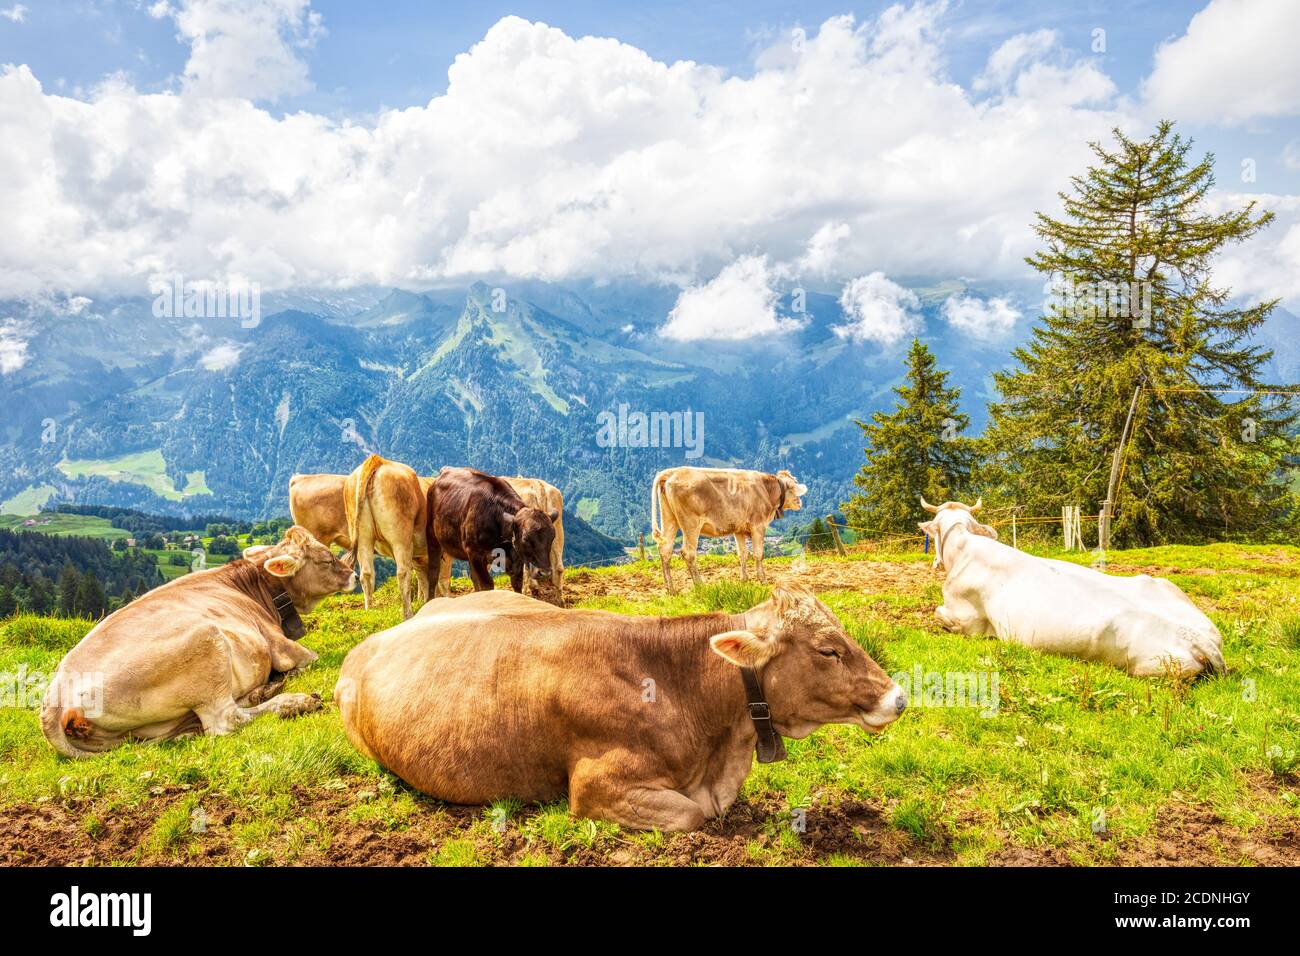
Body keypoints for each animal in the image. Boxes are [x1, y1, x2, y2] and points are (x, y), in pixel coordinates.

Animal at [40, 526, 355, 758]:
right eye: (326, 559)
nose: (353, 575)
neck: (259, 588)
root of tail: (58, 694)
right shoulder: (281, 647)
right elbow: (309, 660)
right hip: (206, 641)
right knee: (226, 720)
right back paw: (293, 701)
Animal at [343, 455, 431, 620]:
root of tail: (378, 460)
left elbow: (424, 579)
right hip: (400, 537)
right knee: (403, 573)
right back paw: (408, 614)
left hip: (363, 537)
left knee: (366, 574)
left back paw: (369, 613)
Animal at [425, 466, 558, 597]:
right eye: (525, 539)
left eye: (552, 537)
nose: (545, 573)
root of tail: (445, 470)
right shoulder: (475, 553)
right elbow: (487, 584)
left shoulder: (517, 557)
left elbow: (516, 583)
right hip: (432, 536)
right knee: (433, 573)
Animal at [651, 466, 807, 594]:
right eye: (794, 487)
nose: (800, 503)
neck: (766, 490)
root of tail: (672, 472)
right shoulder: (758, 525)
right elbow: (758, 554)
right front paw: (762, 580)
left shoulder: (739, 529)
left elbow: (743, 554)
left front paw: (744, 580)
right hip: (690, 523)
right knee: (688, 553)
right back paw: (700, 586)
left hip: (670, 519)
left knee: (665, 550)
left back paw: (670, 589)